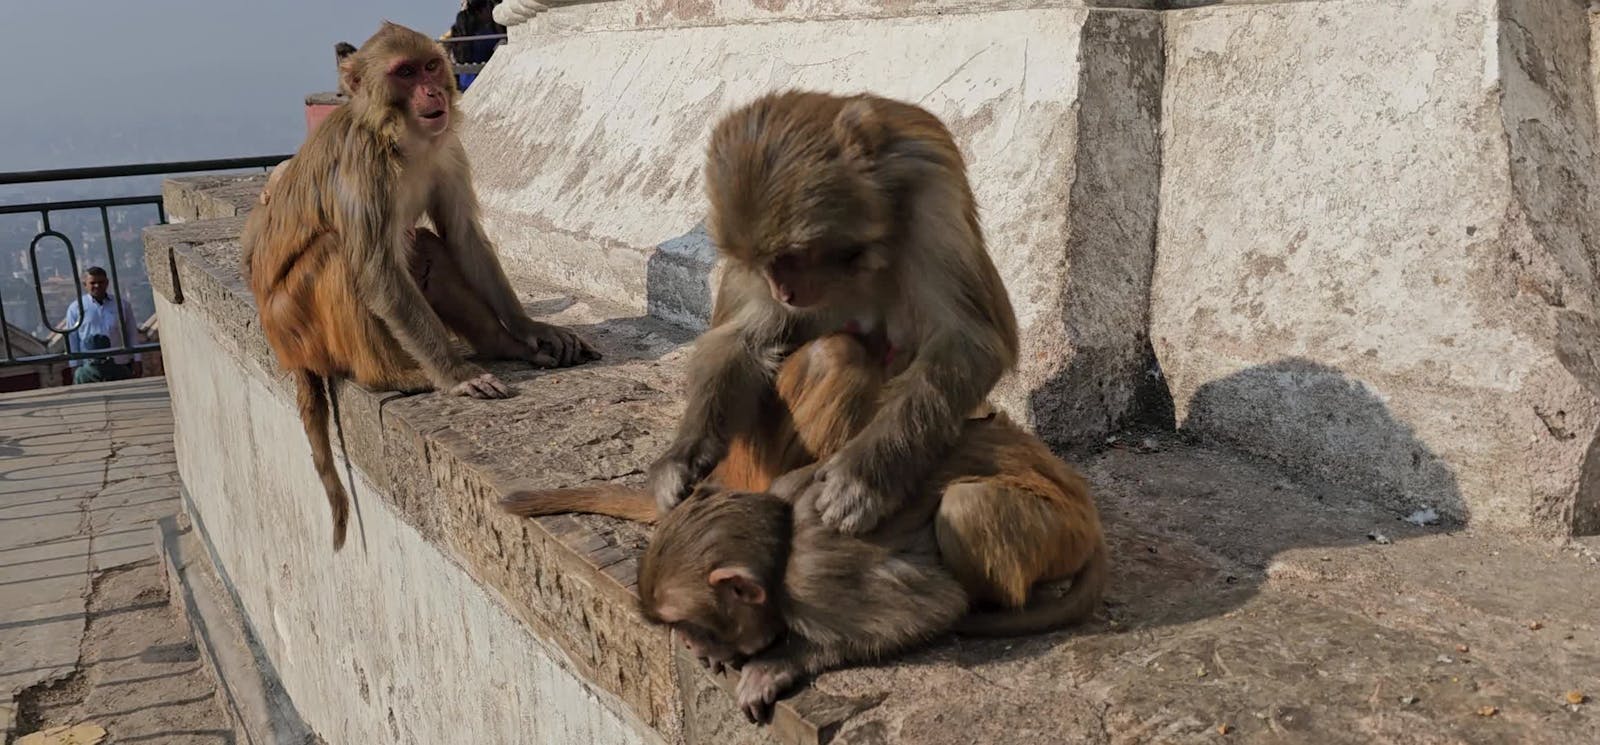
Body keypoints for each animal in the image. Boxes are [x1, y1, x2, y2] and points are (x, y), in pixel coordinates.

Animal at [242, 22, 599, 549]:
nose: (434, 92)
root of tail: (282, 346)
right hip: (293, 322)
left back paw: (505, 346)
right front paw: (453, 374)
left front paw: (530, 330)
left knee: (423, 244)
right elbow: (376, 270)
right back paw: (393, 374)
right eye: (404, 73)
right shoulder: (362, 163)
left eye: (430, 66)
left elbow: (463, 236)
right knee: (338, 252)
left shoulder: (447, 149)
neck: (400, 139)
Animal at [502, 333, 1108, 720]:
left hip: (1057, 530)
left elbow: (925, 611)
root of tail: (1086, 508)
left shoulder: (816, 586)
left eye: (690, 625)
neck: (783, 540)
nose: (692, 647)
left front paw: (777, 664)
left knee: (967, 504)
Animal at [644, 90, 1020, 537]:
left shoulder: (933, 191)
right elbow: (742, 339)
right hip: (751, 457)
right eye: (765, 263)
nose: (783, 292)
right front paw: (685, 455)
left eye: (792, 256)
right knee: (837, 356)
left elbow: (966, 337)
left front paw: (865, 477)